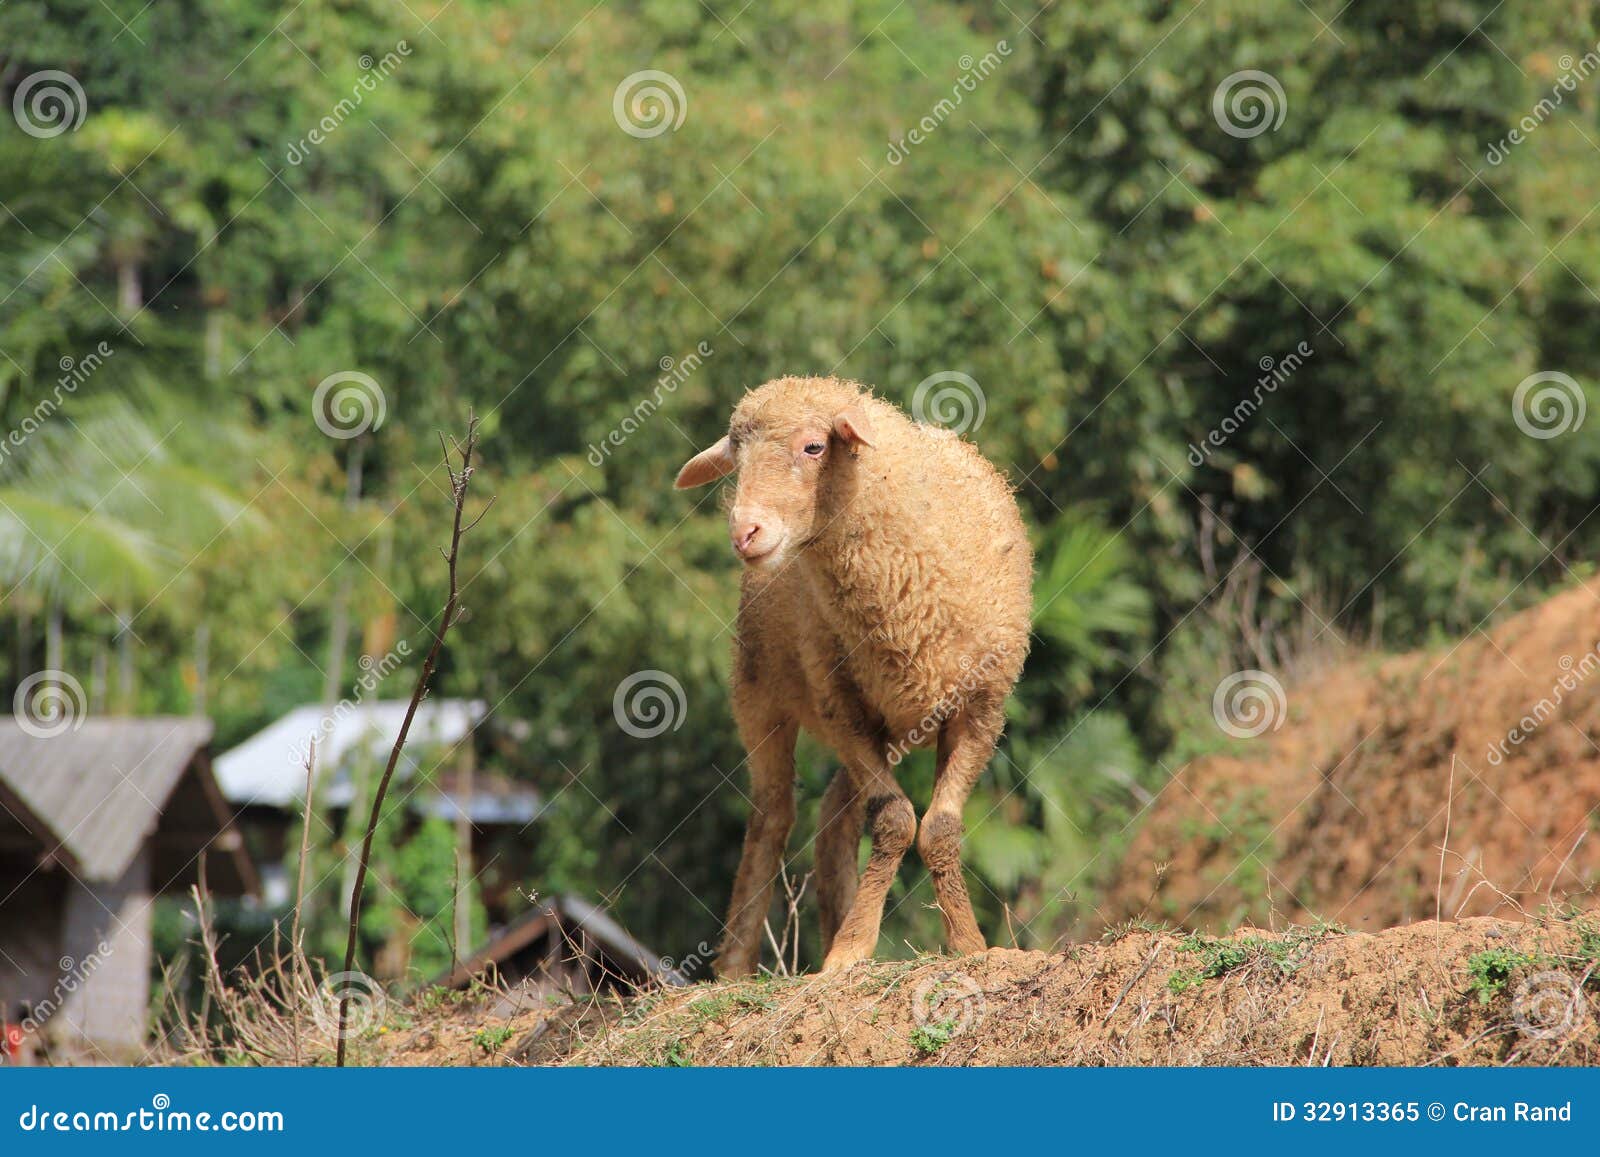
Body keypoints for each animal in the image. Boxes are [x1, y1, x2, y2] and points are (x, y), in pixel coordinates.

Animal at [675, 374, 1033, 975]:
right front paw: (852, 949)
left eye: (814, 447)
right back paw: (736, 965)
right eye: (737, 458)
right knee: (773, 816)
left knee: (833, 817)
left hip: (880, 726)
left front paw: (968, 944)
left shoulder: (981, 707)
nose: (745, 532)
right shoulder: (839, 705)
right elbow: (895, 821)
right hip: (761, 693)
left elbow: (939, 829)